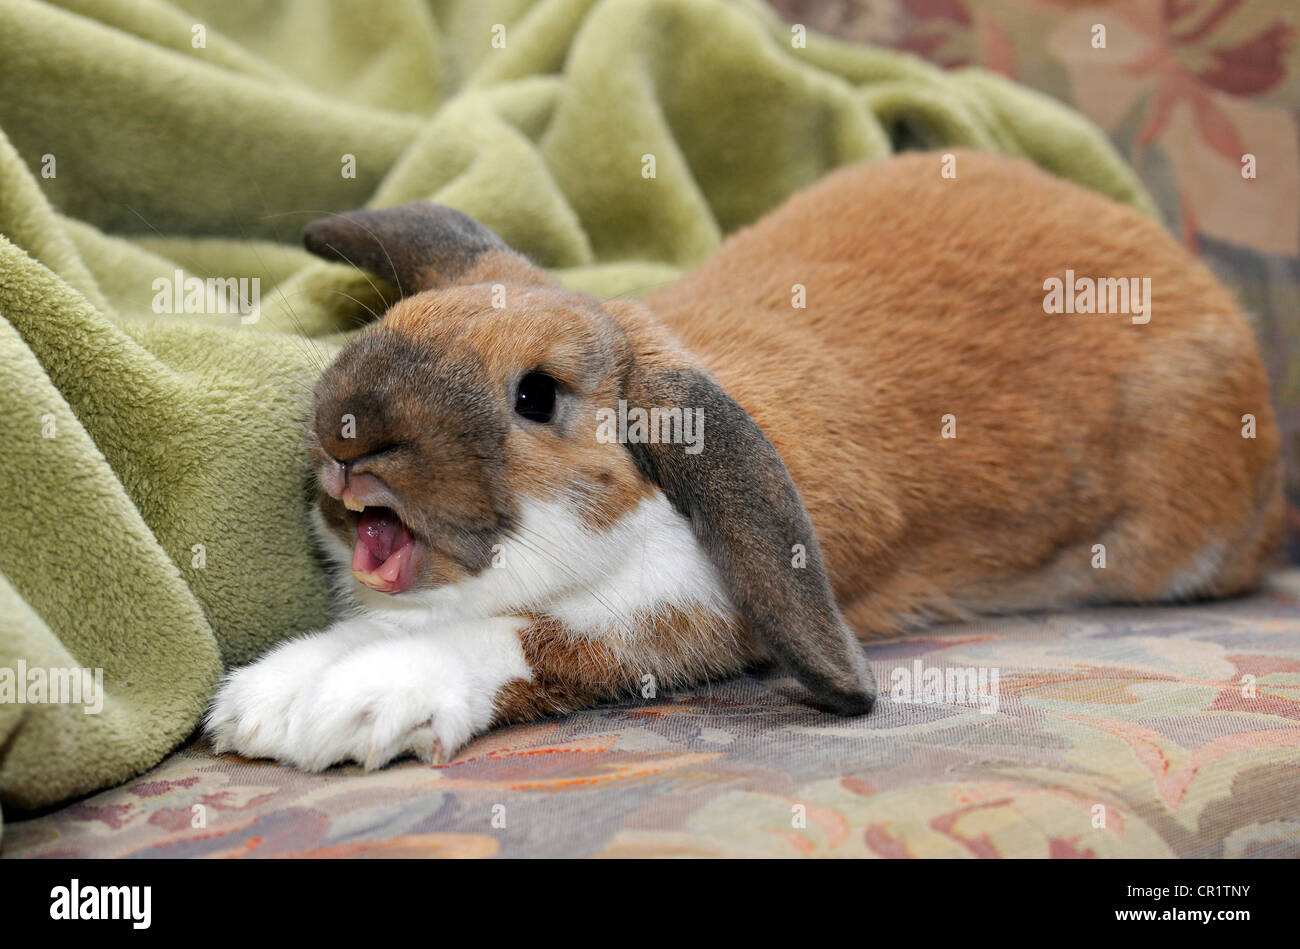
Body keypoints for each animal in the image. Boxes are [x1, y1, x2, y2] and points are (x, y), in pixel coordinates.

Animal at [205, 149, 1282, 771]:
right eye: (396, 320)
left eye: (536, 396)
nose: (347, 430)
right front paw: (270, 697)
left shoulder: (676, 617)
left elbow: (539, 639)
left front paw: (351, 702)